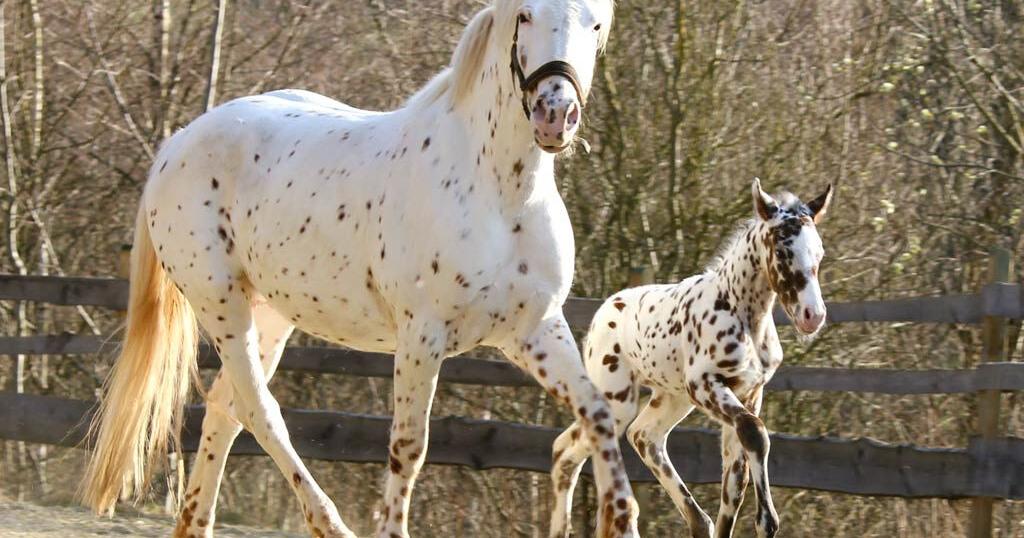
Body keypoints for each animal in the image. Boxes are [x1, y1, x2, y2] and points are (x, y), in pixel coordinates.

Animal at [78, 1, 640, 537]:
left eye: (595, 24)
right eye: (525, 15)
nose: (555, 112)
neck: (501, 194)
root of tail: (177, 144)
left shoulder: (534, 330)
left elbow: (598, 414)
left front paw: (621, 518)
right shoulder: (423, 336)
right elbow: (409, 445)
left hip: (271, 314)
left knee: (226, 409)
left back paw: (197, 525)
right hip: (222, 307)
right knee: (260, 412)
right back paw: (329, 524)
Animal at [549, 179, 833, 538]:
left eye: (819, 252)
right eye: (782, 251)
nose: (813, 316)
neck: (739, 310)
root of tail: (603, 313)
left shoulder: (749, 393)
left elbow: (734, 484)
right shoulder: (705, 385)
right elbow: (755, 433)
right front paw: (767, 519)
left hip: (671, 399)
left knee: (642, 438)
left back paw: (697, 521)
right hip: (618, 402)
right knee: (567, 452)